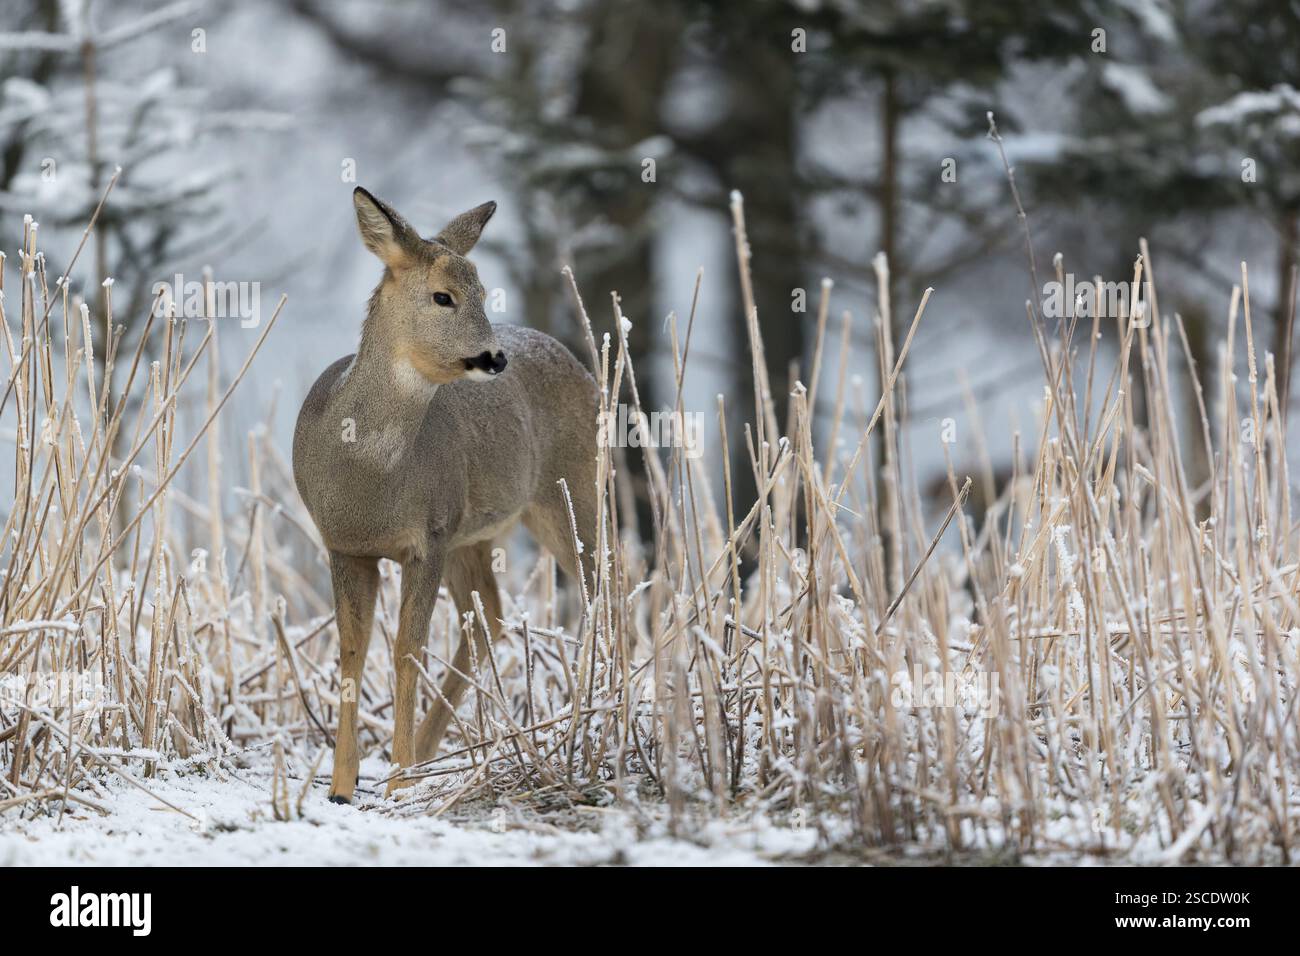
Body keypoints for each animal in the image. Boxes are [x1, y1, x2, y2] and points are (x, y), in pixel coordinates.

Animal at [293, 187, 599, 803]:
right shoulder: (343, 544)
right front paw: (342, 785)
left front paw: (396, 781)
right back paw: (430, 748)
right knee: (490, 620)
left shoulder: (428, 537)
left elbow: (406, 652)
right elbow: (353, 651)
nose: (495, 357)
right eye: (443, 296)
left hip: (569, 490)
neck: (368, 480)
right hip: (473, 534)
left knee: (607, 585)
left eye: (482, 291)